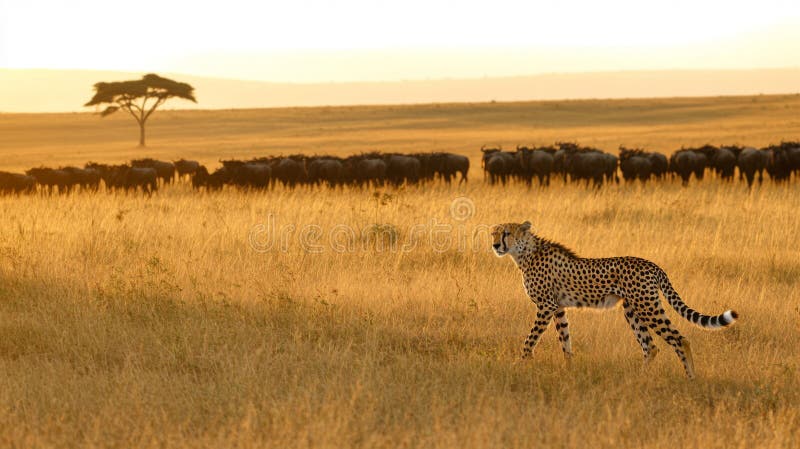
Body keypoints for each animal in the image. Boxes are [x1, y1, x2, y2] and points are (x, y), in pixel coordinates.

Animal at [491, 221, 738, 378]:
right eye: (493, 233)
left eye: (506, 233)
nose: (495, 245)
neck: (525, 253)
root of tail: (652, 264)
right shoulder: (558, 308)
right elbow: (565, 340)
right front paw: (569, 369)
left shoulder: (545, 306)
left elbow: (530, 339)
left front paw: (519, 363)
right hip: (632, 310)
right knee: (650, 347)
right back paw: (639, 378)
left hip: (647, 307)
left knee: (680, 339)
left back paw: (691, 378)